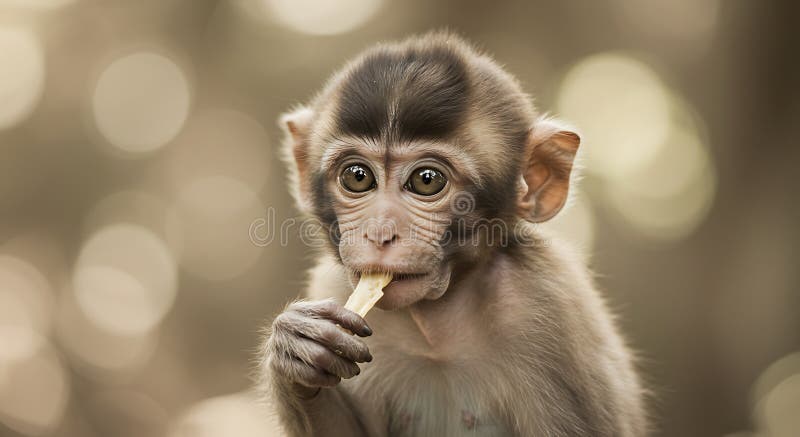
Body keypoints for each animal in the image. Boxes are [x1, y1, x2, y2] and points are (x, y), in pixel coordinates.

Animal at [260, 32, 647, 437]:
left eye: (427, 180)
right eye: (358, 176)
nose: (380, 234)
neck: (436, 330)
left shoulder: (553, 304)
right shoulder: (334, 288)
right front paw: (296, 349)